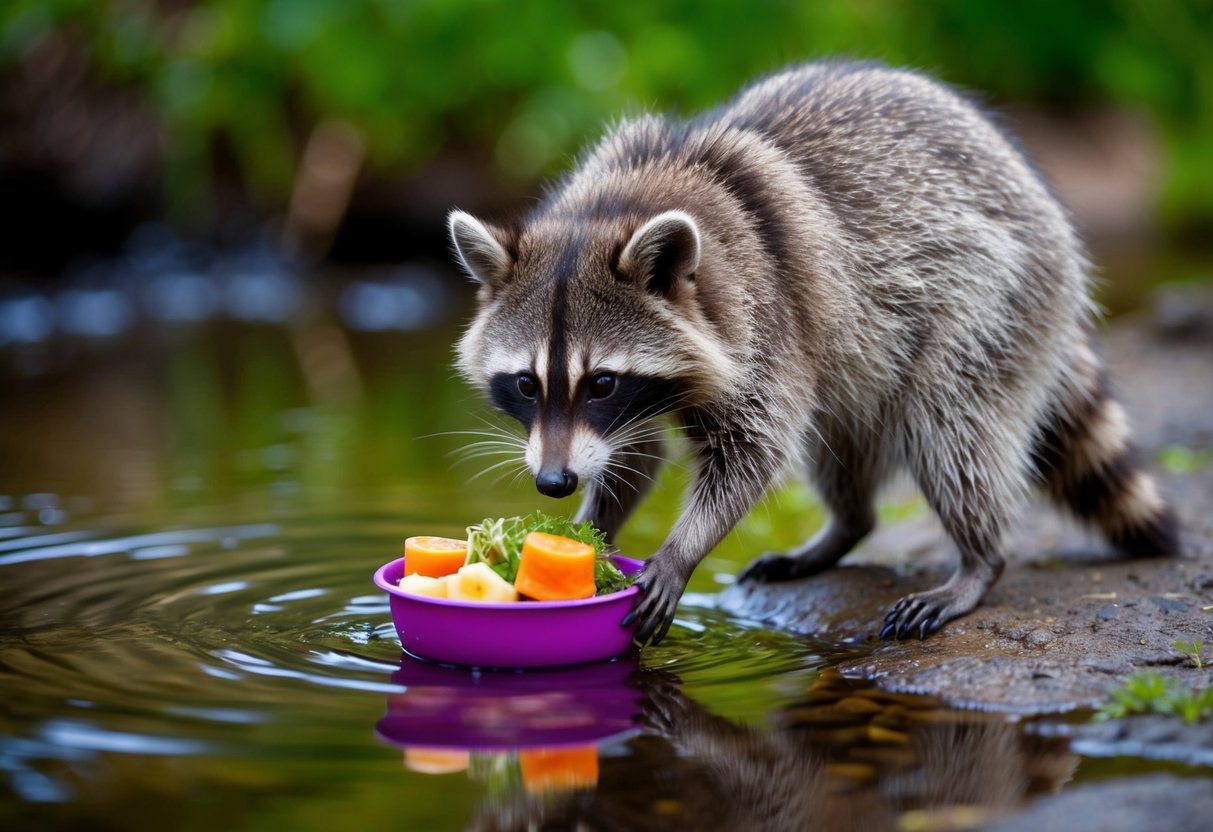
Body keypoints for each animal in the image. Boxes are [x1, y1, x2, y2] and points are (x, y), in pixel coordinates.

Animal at [448, 61, 1180, 645]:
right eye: (525, 384)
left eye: (600, 381)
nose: (553, 482)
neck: (626, 197)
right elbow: (635, 452)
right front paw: (588, 533)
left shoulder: (766, 312)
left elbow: (754, 449)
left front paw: (681, 548)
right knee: (845, 436)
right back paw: (847, 526)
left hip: (998, 293)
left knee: (949, 423)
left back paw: (978, 559)